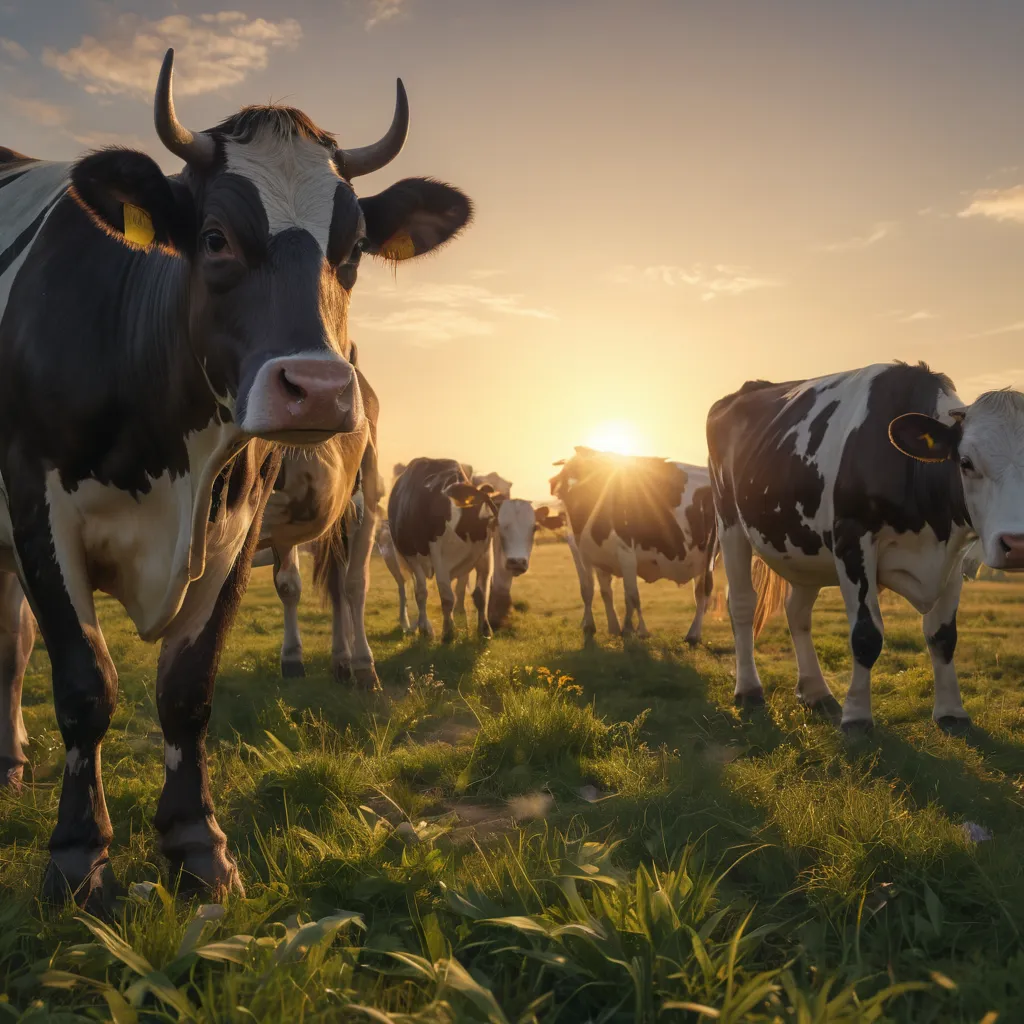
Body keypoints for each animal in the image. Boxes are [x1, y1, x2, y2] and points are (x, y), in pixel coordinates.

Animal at [0, 49, 471, 910]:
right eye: (214, 238)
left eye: (353, 249)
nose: (317, 389)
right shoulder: (35, 506)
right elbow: (83, 683)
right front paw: (79, 855)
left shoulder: (237, 522)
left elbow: (188, 688)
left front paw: (196, 845)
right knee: (15, 647)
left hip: (363, 501)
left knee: (349, 585)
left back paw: (354, 665)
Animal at [387, 458, 563, 641]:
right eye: (499, 524)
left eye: (534, 528)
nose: (517, 562)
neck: (464, 523)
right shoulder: (438, 557)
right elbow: (446, 597)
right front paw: (448, 632)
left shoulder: (484, 555)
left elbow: (480, 594)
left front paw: (484, 629)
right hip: (409, 555)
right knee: (420, 592)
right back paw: (424, 627)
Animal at [549, 447, 718, 643]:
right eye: (565, 493)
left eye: (590, 485)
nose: (577, 521)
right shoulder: (595, 557)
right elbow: (601, 592)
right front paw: (615, 628)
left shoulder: (625, 554)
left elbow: (632, 595)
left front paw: (638, 630)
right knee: (700, 593)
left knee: (704, 592)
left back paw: (693, 634)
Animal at [706, 360, 1024, 733]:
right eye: (966, 463)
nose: (1017, 544)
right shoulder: (852, 539)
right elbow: (866, 635)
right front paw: (857, 716)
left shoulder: (954, 553)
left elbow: (943, 636)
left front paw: (951, 712)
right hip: (729, 524)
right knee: (742, 604)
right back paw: (749, 690)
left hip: (803, 549)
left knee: (797, 612)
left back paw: (815, 691)